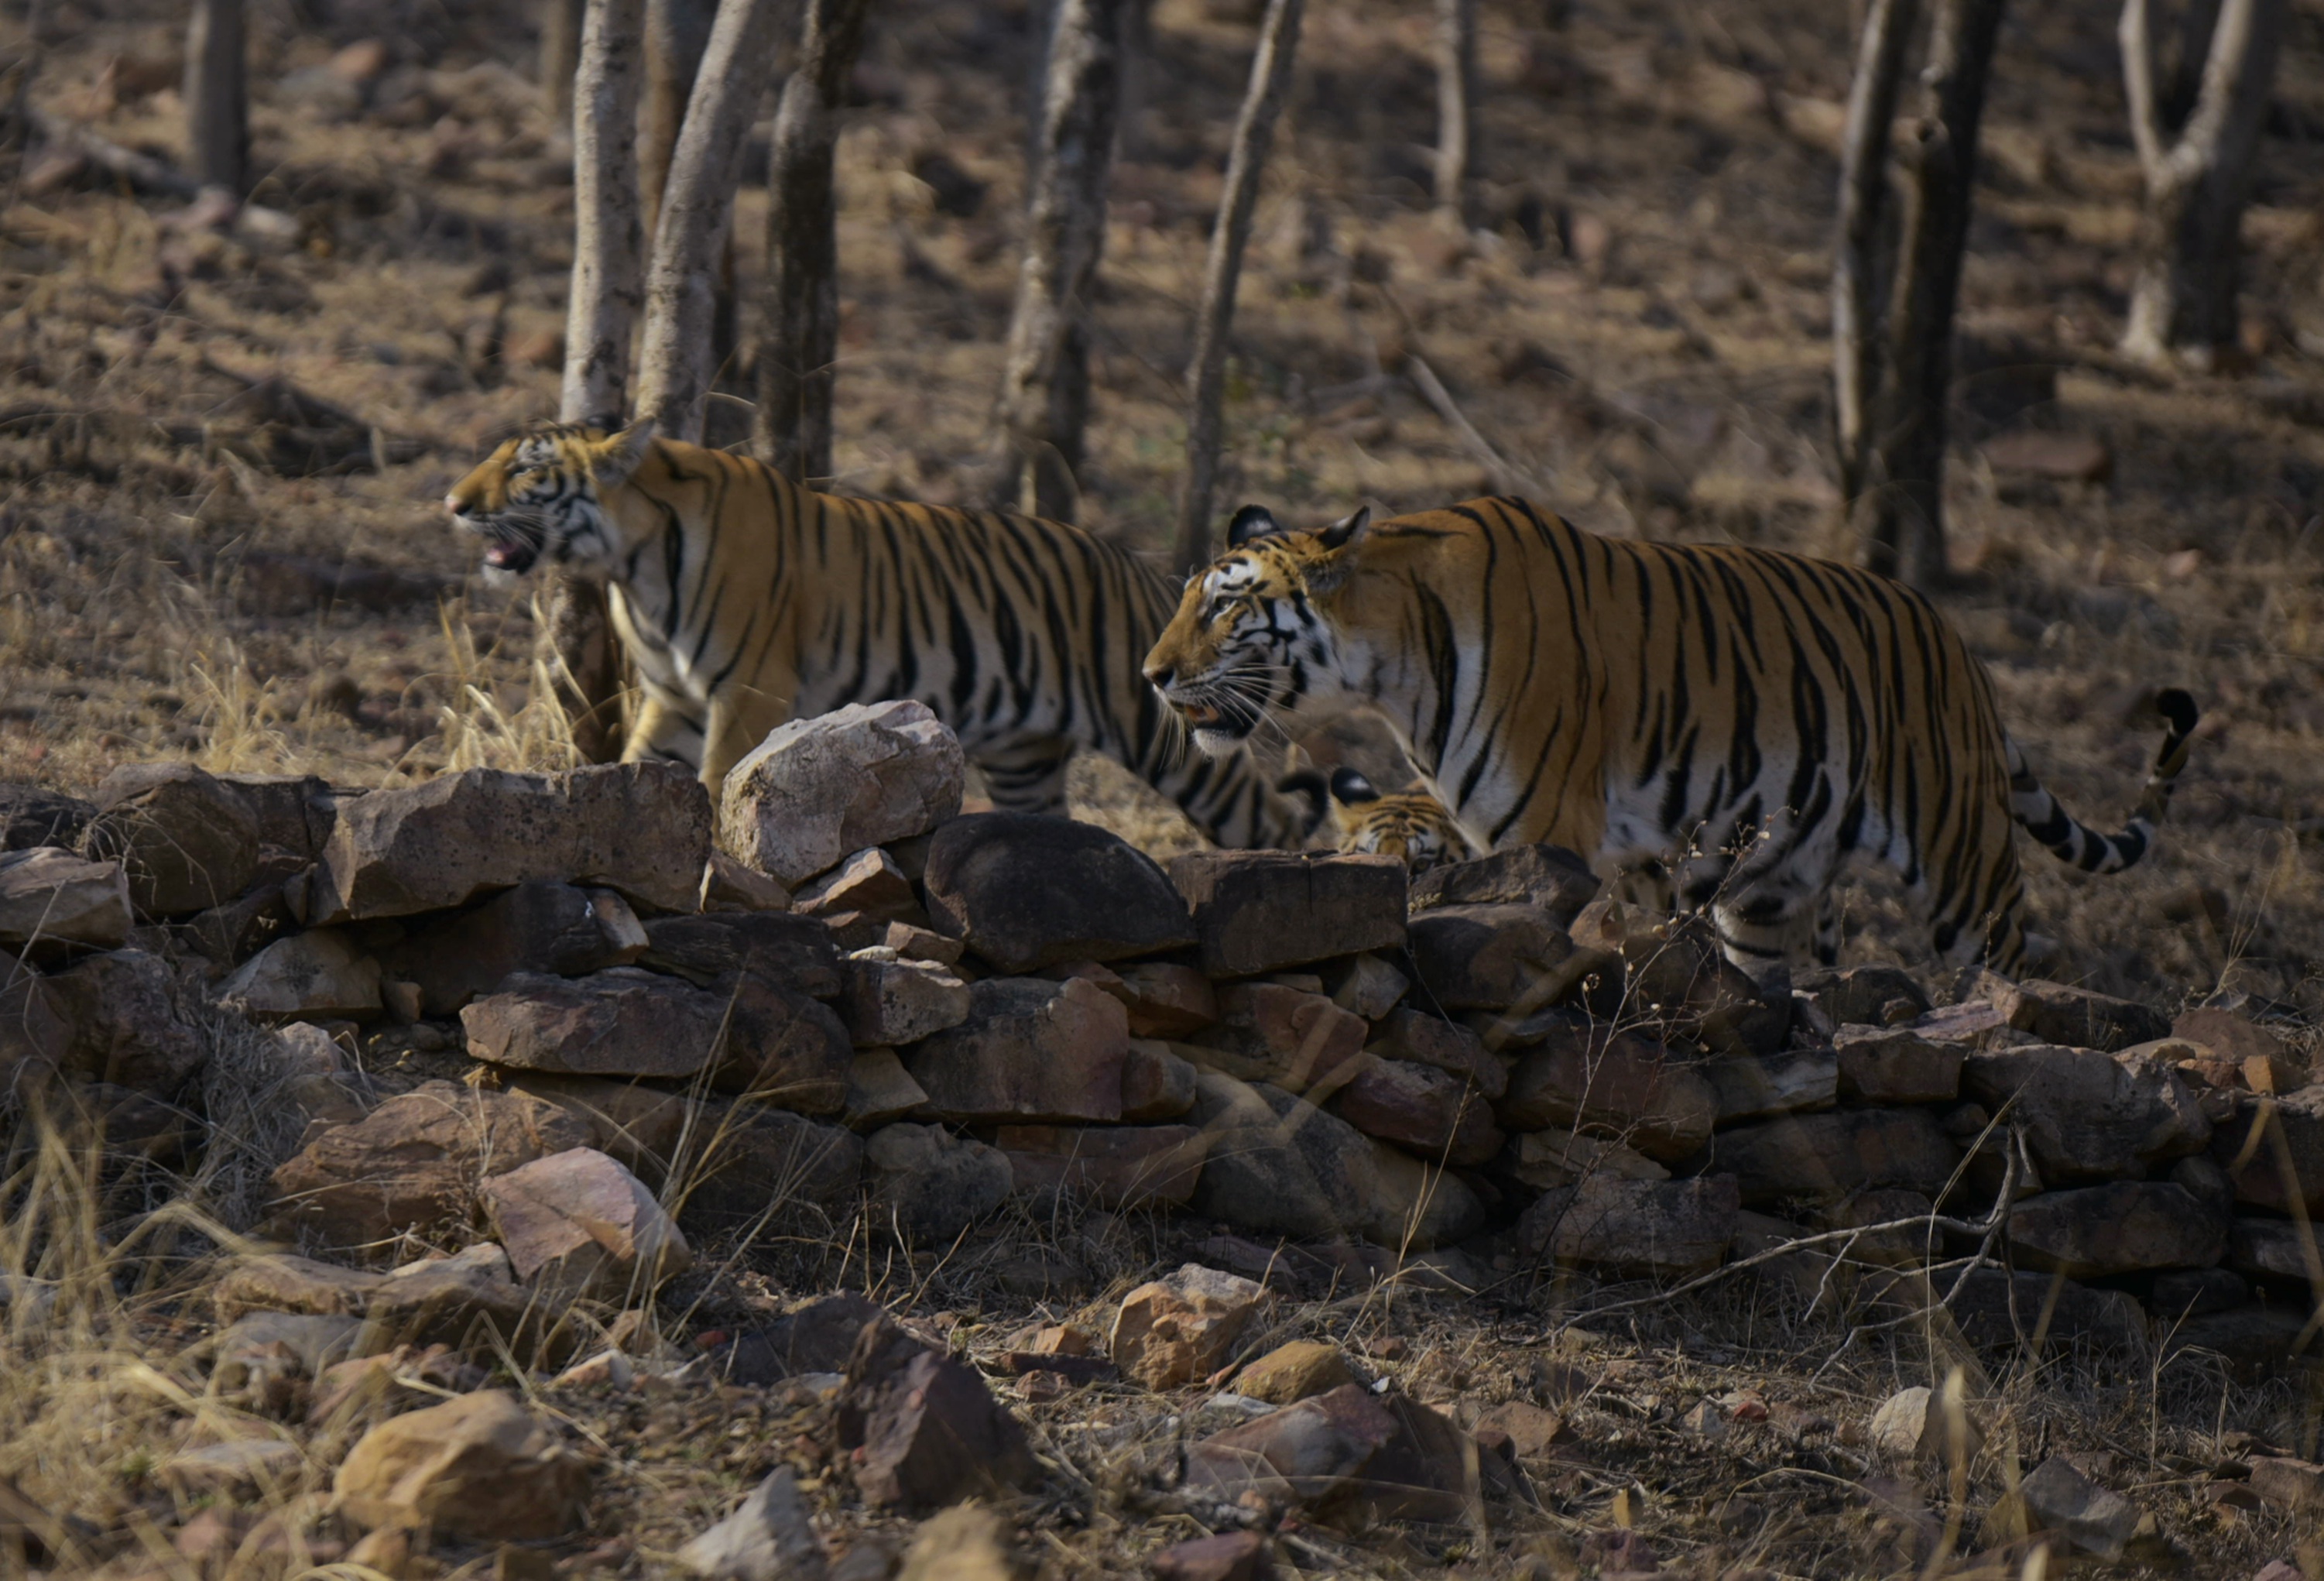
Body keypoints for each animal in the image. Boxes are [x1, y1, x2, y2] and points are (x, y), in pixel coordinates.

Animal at [443, 422, 1320, 850]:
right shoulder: (673, 699)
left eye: (523, 469)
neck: (631, 562)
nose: (453, 503)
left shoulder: (748, 689)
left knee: (1270, 822)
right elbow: (645, 764)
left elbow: (725, 778)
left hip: (1162, 732)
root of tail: (1159, 576)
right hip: (1026, 762)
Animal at [1143, 497, 2198, 976]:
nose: (1151, 675)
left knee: (2007, 975)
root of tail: (1958, 647)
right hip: (1768, 892)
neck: (1394, 658)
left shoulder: (1547, 828)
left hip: (1962, 866)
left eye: (1224, 605)